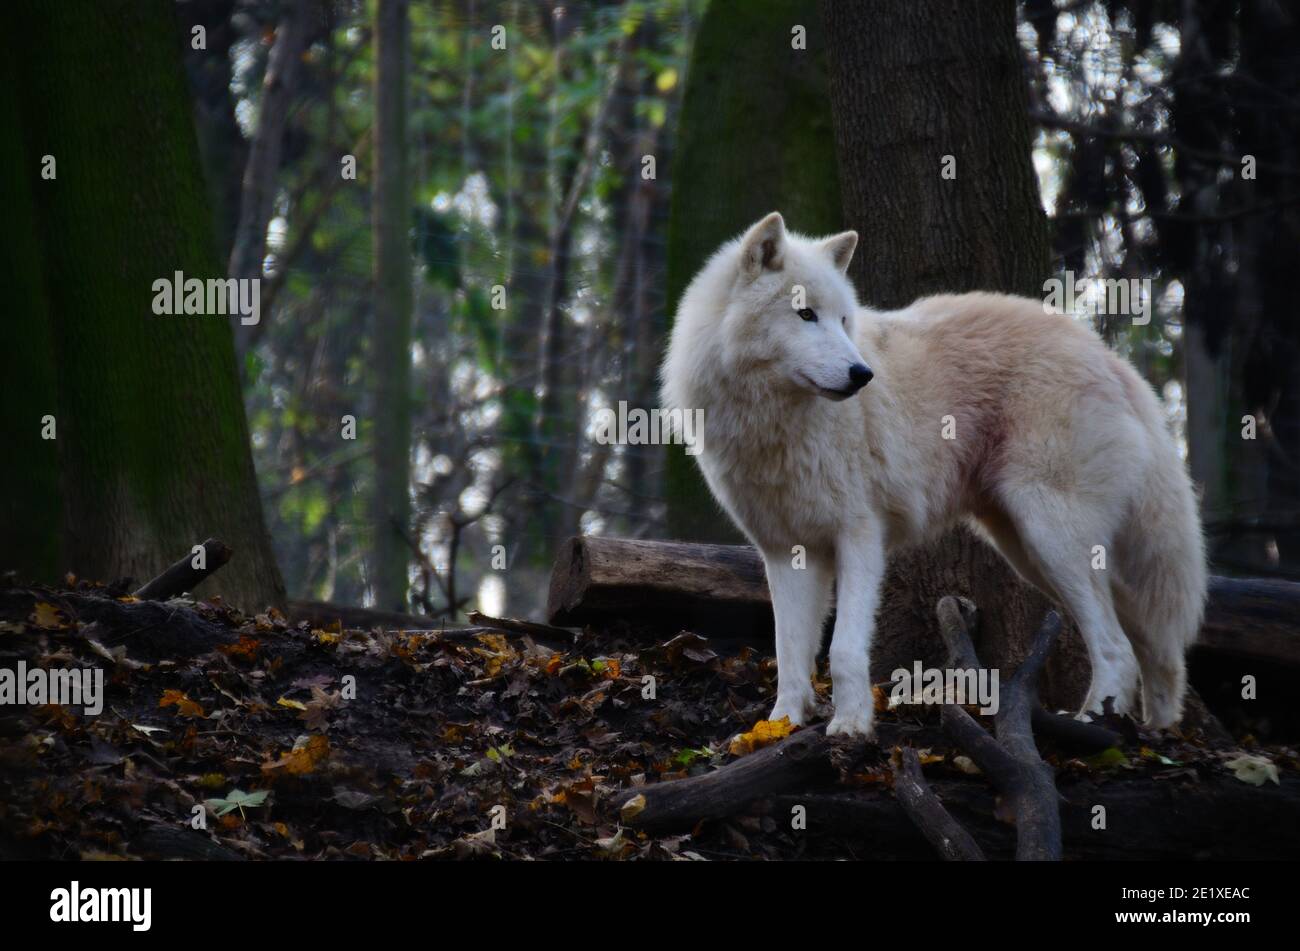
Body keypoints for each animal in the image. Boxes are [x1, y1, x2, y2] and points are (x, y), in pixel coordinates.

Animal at [659, 212, 1207, 737]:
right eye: (805, 314)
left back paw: (1095, 723)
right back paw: (1155, 728)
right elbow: (790, 654)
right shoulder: (785, 550)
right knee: (1151, 645)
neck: (775, 424)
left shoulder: (860, 535)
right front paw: (778, 727)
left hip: (1050, 537)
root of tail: (1109, 356)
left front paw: (850, 726)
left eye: (843, 320)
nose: (862, 375)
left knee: (1116, 646)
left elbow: (843, 650)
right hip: (1032, 550)